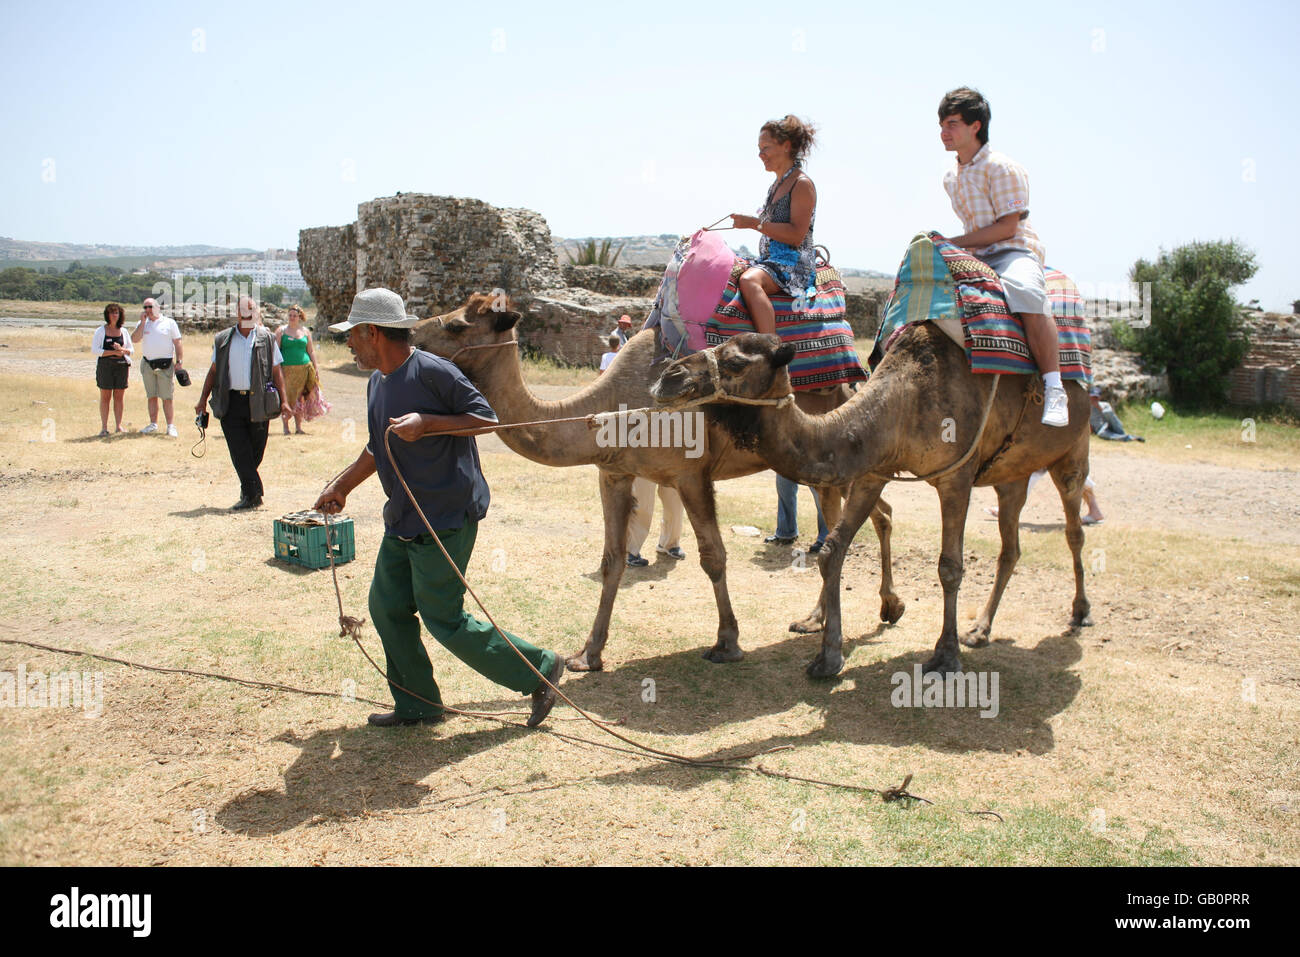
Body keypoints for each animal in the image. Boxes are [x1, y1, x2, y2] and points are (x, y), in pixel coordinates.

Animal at [410, 294, 904, 672]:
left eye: (456, 324)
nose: (411, 335)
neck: (613, 408)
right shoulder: (614, 472)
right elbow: (612, 560)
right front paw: (587, 655)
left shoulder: (689, 474)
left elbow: (714, 557)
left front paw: (727, 643)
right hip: (823, 467)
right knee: (863, 515)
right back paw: (823, 617)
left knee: (868, 516)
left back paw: (883, 607)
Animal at [650, 327, 1093, 677]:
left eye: (736, 362)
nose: (667, 376)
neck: (907, 397)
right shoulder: (873, 469)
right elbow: (832, 548)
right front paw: (830, 656)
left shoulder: (956, 476)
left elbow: (949, 567)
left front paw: (944, 656)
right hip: (1013, 477)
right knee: (1011, 547)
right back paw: (980, 629)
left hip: (1073, 454)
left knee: (1073, 529)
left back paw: (1079, 612)